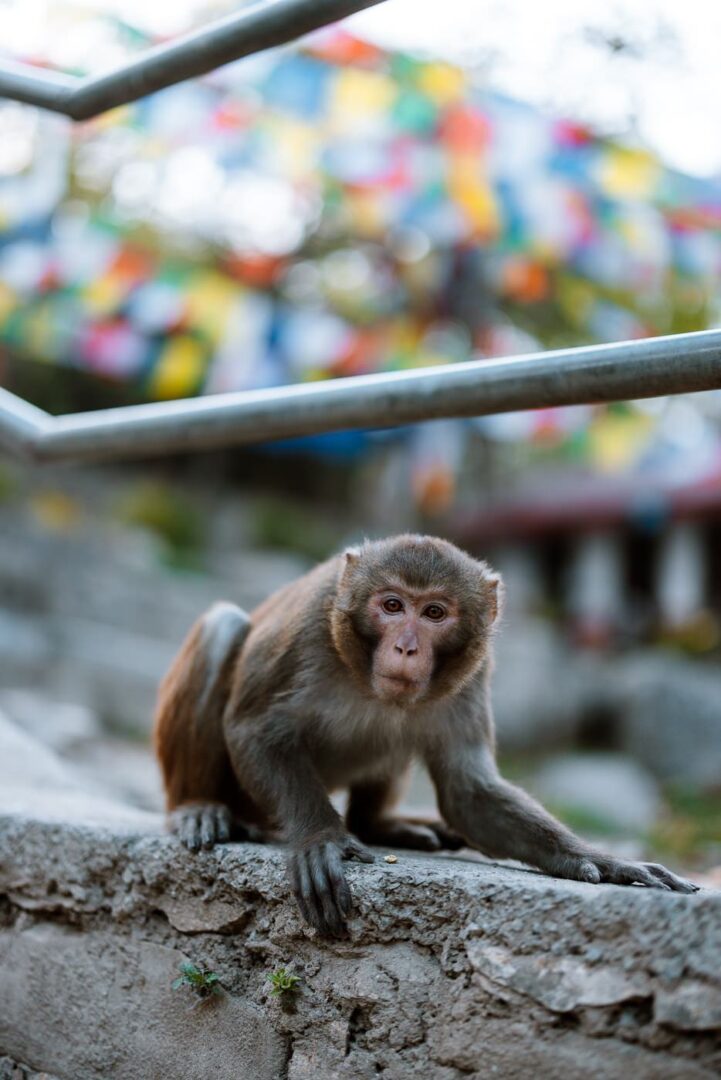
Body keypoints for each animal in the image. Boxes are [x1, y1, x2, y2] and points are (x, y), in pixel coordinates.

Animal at [153, 534, 698, 936]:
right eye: (392, 605)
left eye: (435, 612)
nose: (407, 648)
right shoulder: (305, 630)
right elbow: (254, 731)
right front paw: (319, 838)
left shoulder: (474, 672)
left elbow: (468, 791)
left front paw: (600, 860)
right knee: (223, 627)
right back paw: (198, 807)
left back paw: (381, 824)